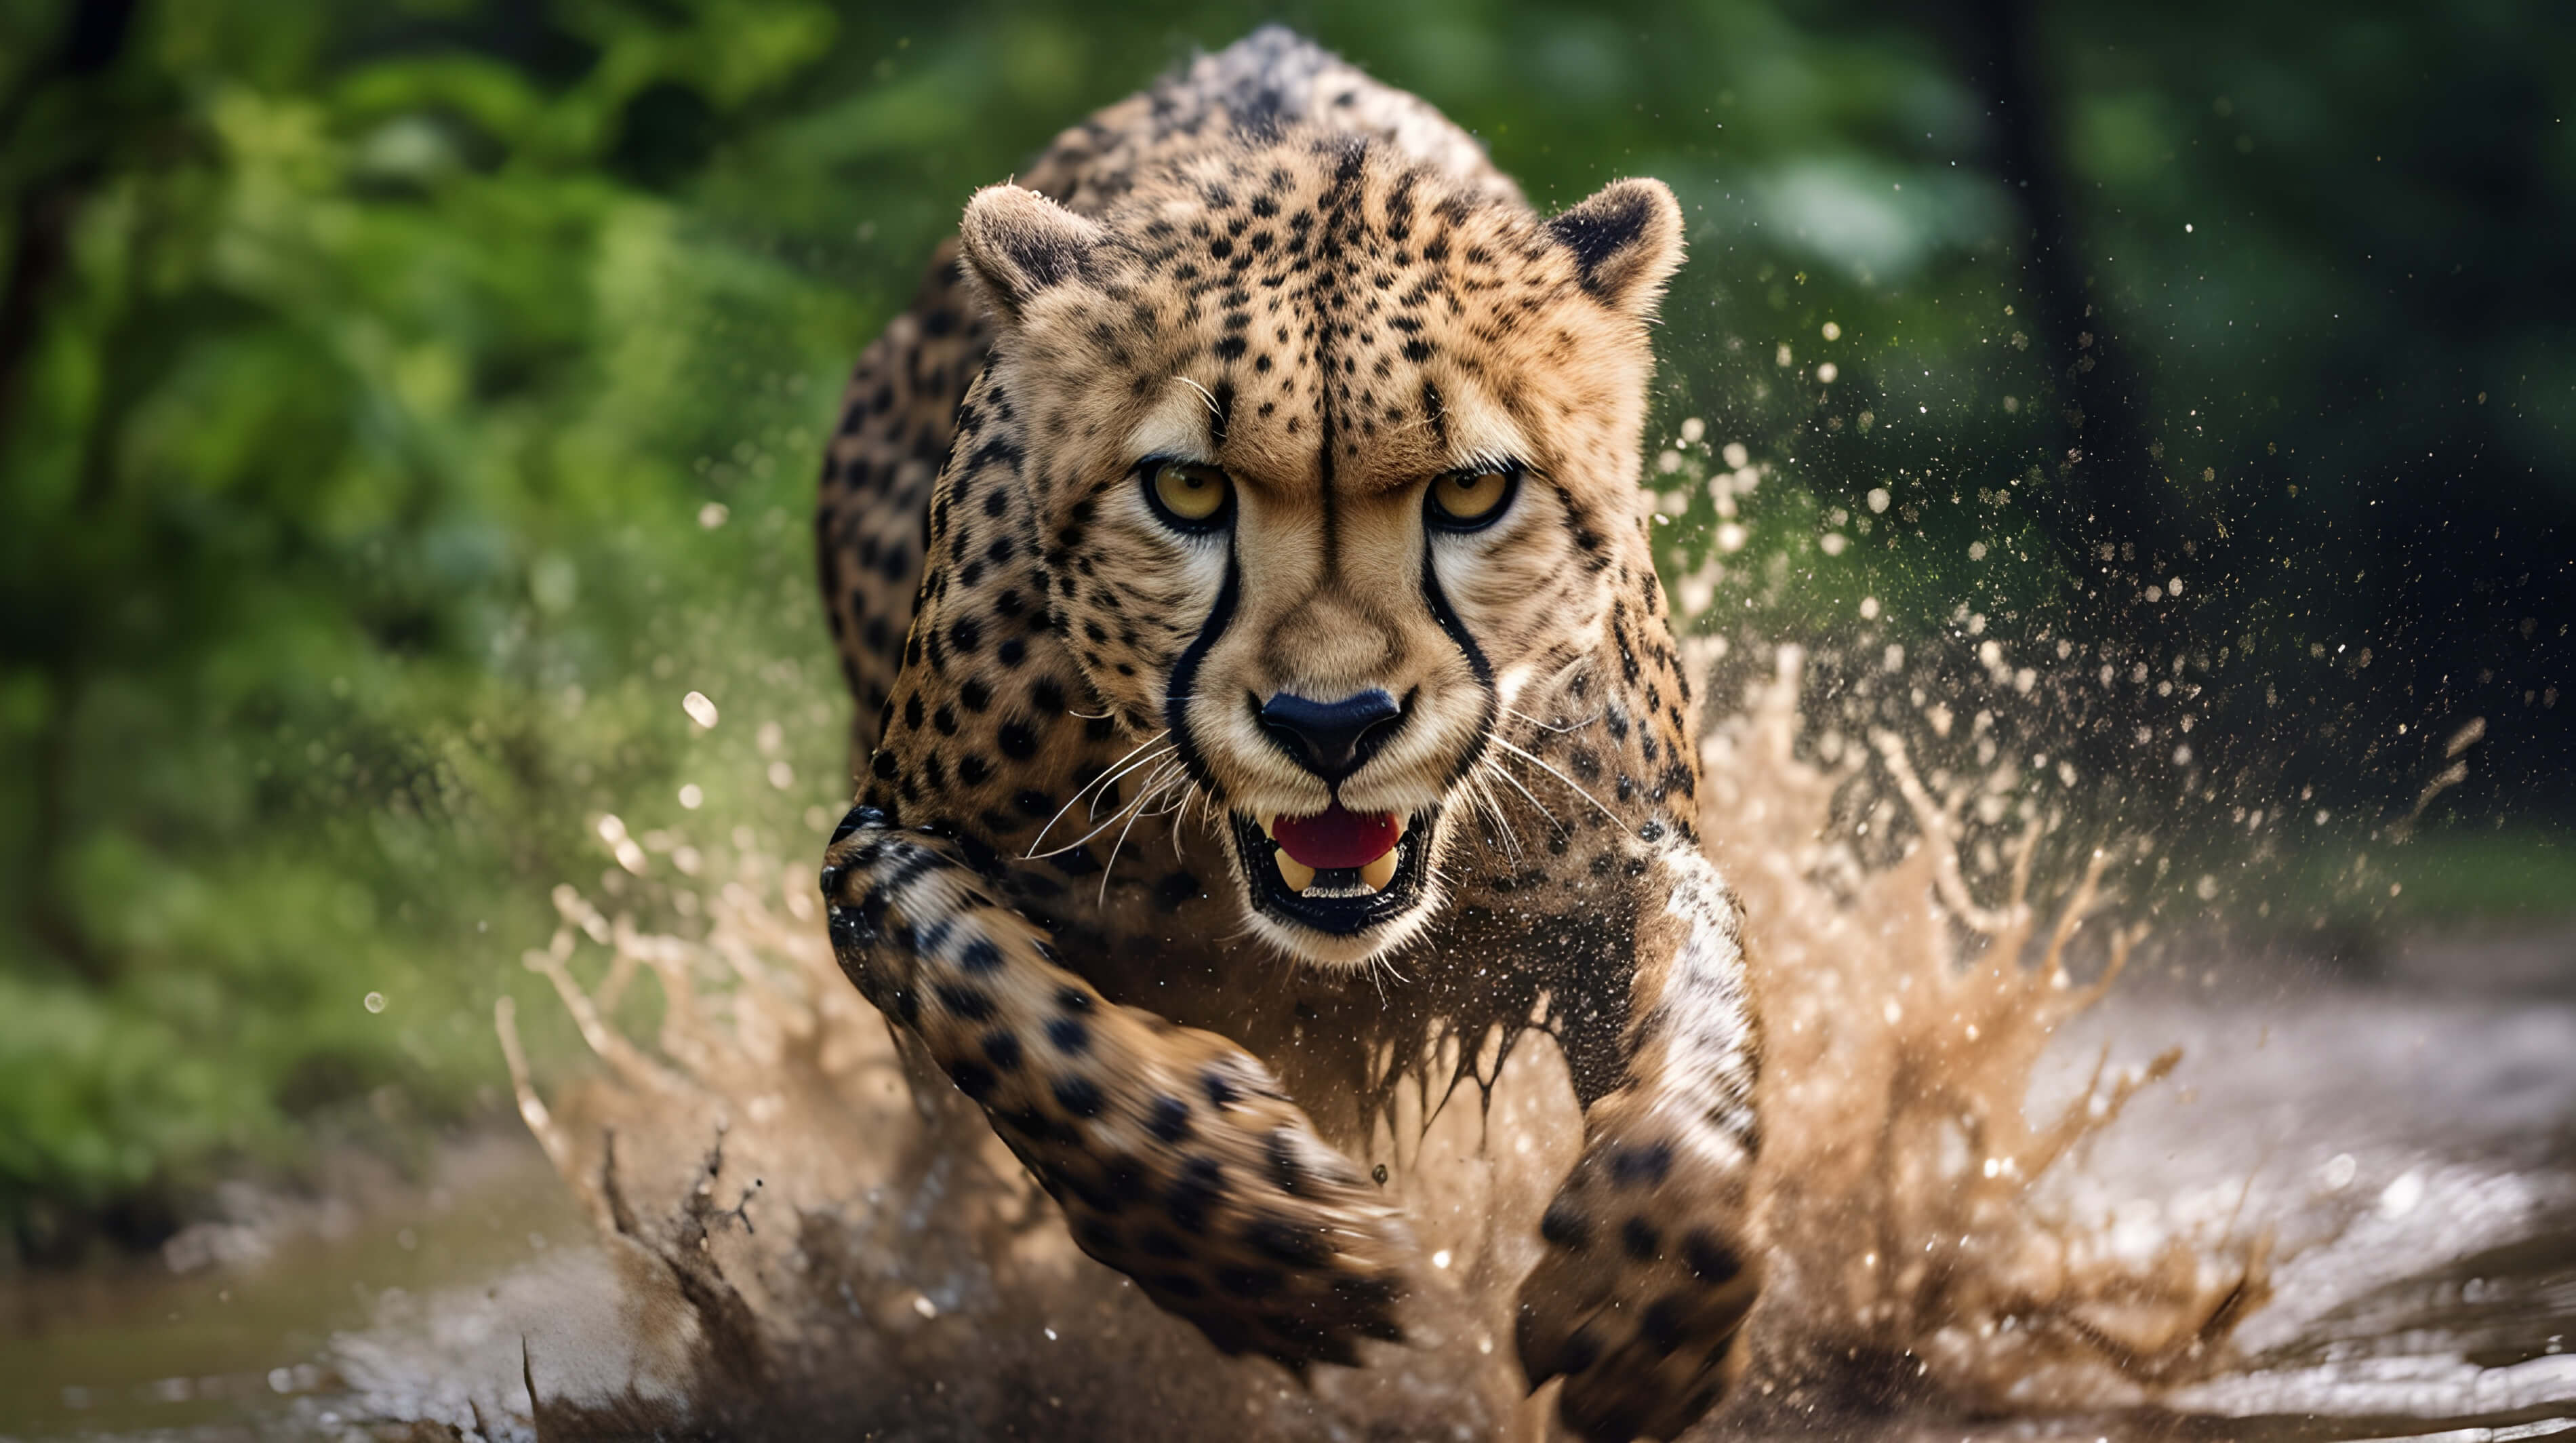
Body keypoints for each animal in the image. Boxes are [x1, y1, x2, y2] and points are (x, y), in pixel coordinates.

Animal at [814, 28, 1762, 1442]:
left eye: (1472, 490)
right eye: (1185, 488)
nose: (1332, 724)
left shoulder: (1626, 851)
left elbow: (1704, 1029)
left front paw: (1653, 1302)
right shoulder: (885, 834)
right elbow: (999, 1004)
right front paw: (1270, 1249)